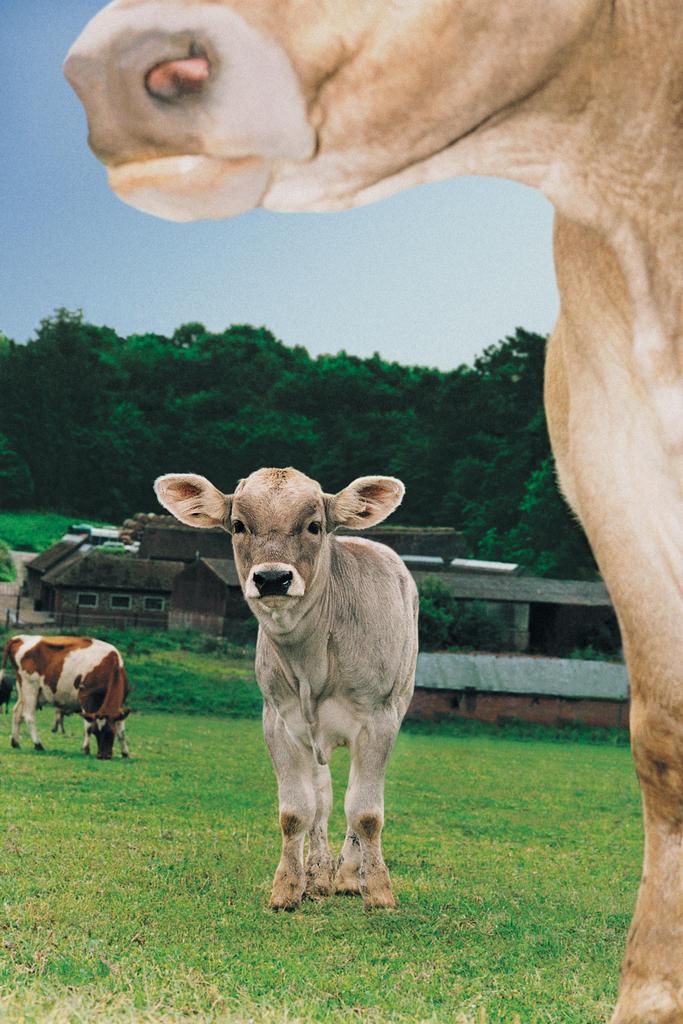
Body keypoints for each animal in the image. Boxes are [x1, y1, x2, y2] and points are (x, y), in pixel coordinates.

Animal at [2, 636, 131, 760]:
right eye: (95, 732)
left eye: (111, 732)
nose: (102, 756)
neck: (111, 664)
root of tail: (19, 638)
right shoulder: (86, 698)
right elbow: (88, 726)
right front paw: (86, 749)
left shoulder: (120, 705)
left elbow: (122, 730)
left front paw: (125, 752)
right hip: (30, 687)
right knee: (29, 716)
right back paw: (38, 745)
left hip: (23, 690)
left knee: (17, 712)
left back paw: (15, 742)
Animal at [155, 468, 418, 910]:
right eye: (239, 525)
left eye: (314, 526)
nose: (273, 578)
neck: (313, 663)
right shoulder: (279, 721)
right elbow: (298, 811)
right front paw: (288, 888)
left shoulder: (379, 720)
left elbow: (365, 813)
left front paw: (379, 891)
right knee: (323, 800)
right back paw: (319, 875)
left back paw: (348, 876)